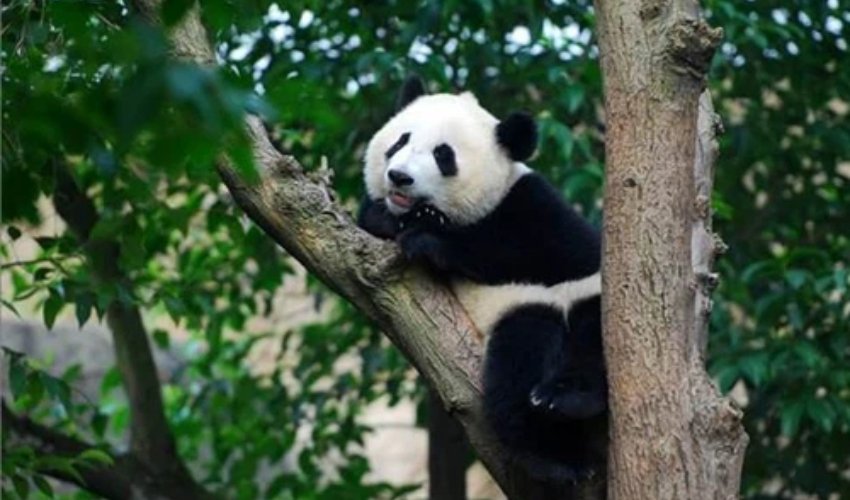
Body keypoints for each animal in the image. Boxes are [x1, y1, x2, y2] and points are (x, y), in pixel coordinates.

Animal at [358, 76, 607, 482]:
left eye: (443, 155)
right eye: (401, 140)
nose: (400, 177)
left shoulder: (536, 205)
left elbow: (528, 250)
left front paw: (428, 234)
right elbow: (374, 220)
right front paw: (400, 221)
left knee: (598, 331)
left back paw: (566, 400)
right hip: (519, 315)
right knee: (521, 353)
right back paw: (554, 453)